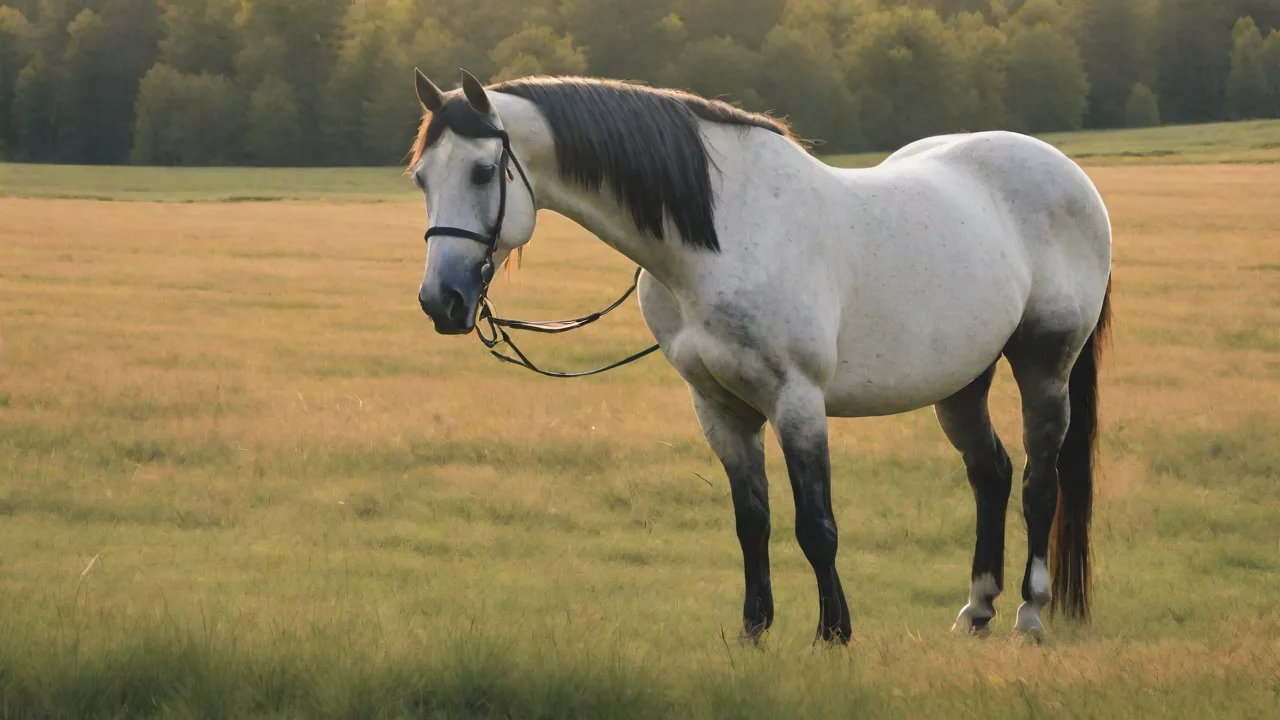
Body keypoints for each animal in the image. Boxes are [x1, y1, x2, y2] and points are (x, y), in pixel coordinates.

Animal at [408, 69, 1112, 645]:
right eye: (421, 177)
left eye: (481, 172)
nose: (442, 300)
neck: (720, 237)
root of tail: (1070, 175)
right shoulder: (719, 406)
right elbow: (753, 520)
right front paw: (753, 631)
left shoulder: (796, 400)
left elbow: (816, 524)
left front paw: (833, 634)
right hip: (962, 381)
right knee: (991, 474)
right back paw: (978, 611)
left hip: (1044, 365)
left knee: (1039, 483)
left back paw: (1029, 614)